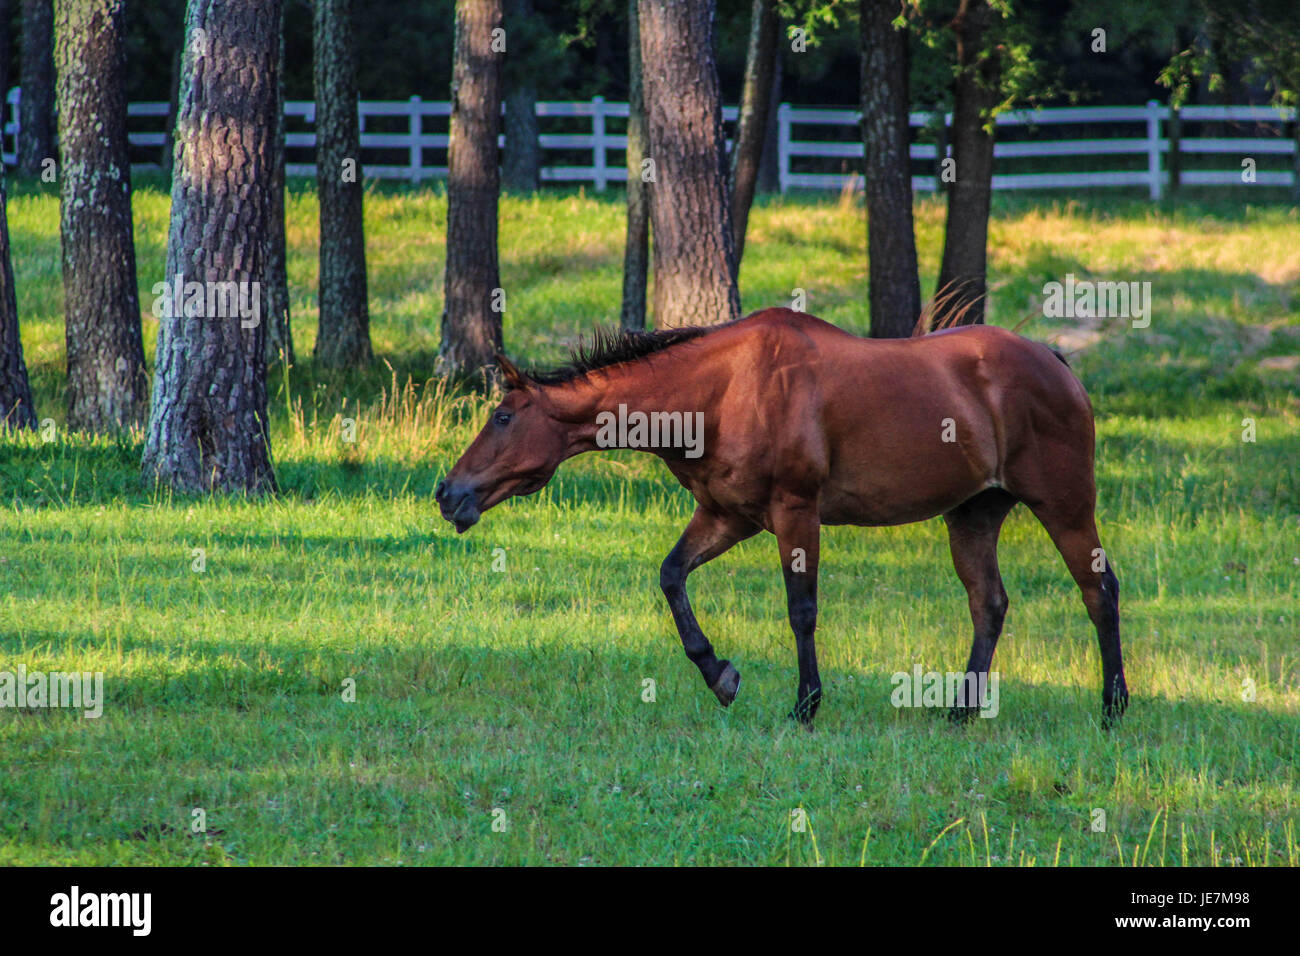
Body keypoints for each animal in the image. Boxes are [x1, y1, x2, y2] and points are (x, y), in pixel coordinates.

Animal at [436, 308, 1128, 726]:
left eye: (503, 416)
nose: (448, 492)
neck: (723, 390)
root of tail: (1055, 360)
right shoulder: (726, 516)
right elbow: (671, 577)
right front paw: (719, 674)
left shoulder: (796, 515)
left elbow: (802, 610)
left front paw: (806, 704)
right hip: (972, 516)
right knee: (989, 603)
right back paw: (960, 711)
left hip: (1065, 506)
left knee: (1099, 592)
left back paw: (1113, 706)